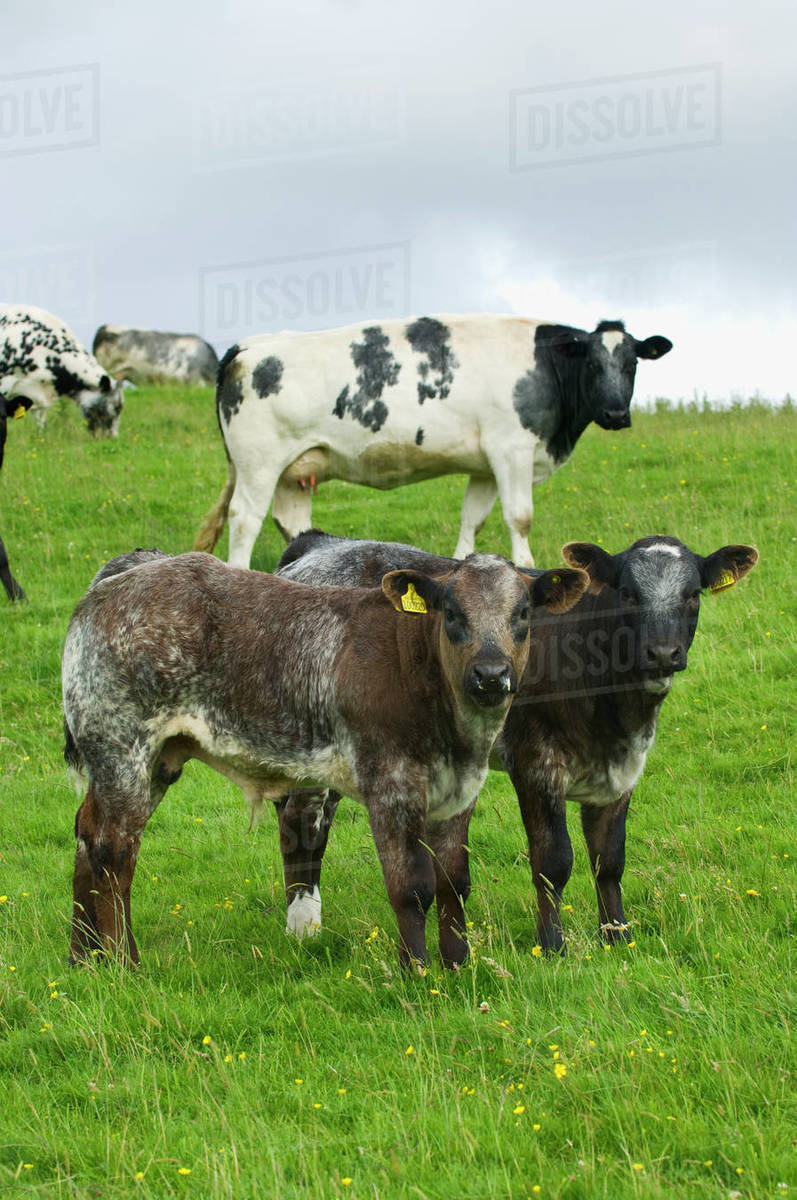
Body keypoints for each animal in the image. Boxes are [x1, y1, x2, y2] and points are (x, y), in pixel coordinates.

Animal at [62, 548, 588, 969]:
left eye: (523, 612)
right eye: (453, 613)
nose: (491, 674)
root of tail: (118, 578)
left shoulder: (459, 790)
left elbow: (453, 880)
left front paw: (458, 963)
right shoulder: (391, 784)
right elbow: (411, 885)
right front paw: (416, 970)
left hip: (152, 761)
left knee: (89, 835)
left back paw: (83, 957)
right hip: (122, 750)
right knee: (113, 849)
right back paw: (122, 961)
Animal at [193, 315, 672, 569]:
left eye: (631, 364)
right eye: (591, 364)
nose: (616, 414)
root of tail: (247, 346)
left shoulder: (485, 465)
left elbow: (473, 519)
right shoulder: (512, 448)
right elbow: (520, 517)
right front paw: (527, 567)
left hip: (297, 468)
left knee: (293, 523)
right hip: (258, 461)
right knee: (245, 519)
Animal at [276, 529, 758, 953]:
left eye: (692, 594)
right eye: (628, 593)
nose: (662, 653)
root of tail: (321, 545)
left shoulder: (621, 770)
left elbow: (610, 858)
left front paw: (617, 935)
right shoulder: (536, 761)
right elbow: (553, 860)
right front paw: (553, 944)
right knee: (302, 819)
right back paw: (303, 927)